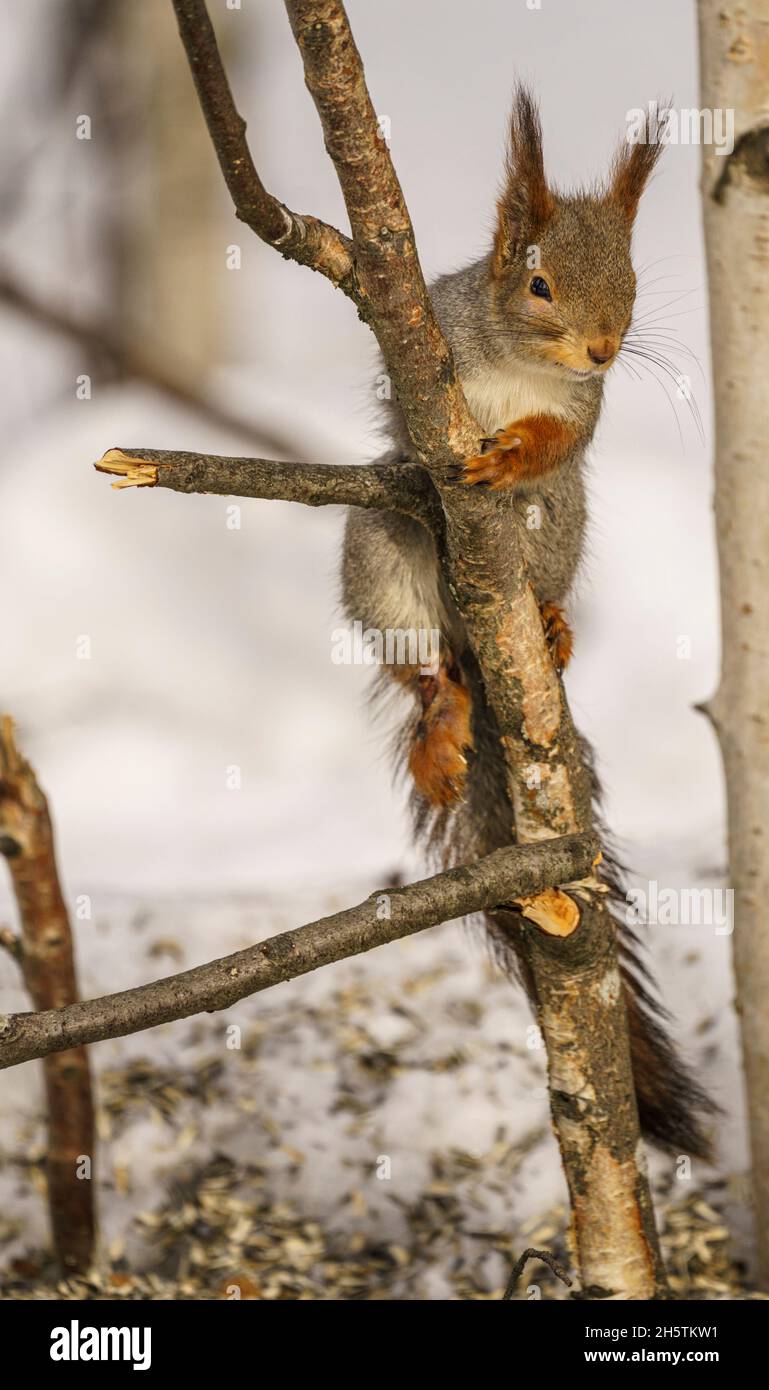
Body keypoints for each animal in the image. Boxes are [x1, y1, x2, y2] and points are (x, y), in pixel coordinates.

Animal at [341, 86, 713, 1158]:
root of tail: (476, 645)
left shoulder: (580, 417)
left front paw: (511, 454)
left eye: (627, 282)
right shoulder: (428, 358)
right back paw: (439, 722)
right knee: (419, 670)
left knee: (538, 579)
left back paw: (548, 630)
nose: (602, 347)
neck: (522, 363)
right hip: (379, 558)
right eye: (538, 283)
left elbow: (555, 440)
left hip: (563, 533)